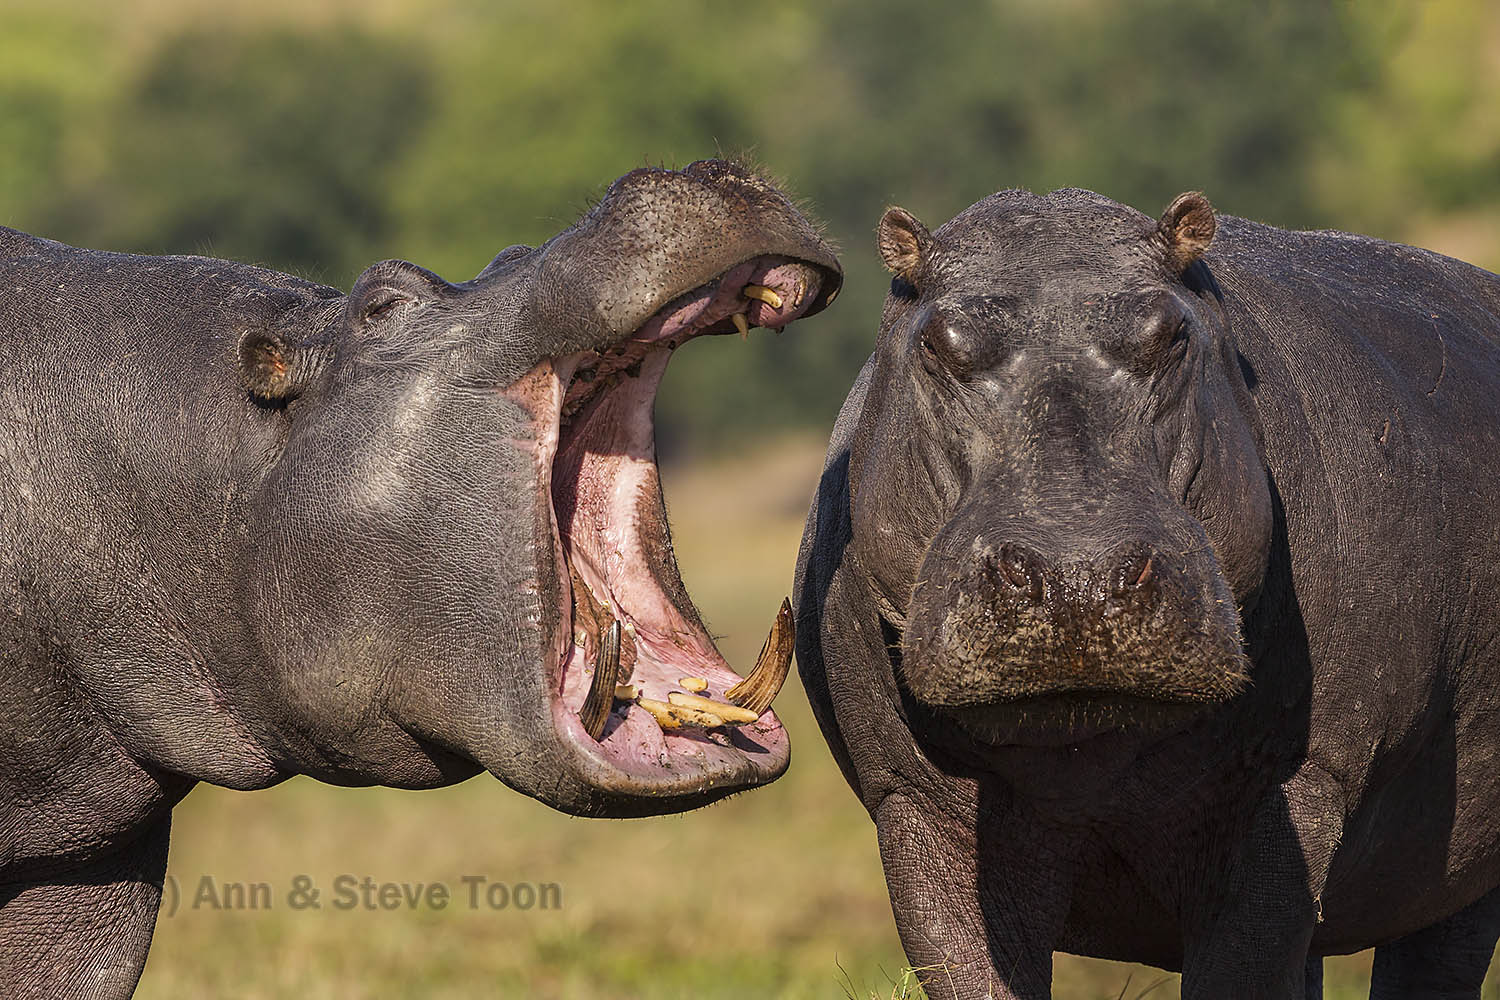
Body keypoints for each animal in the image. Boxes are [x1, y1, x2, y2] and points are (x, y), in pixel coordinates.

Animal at [794, 187, 1500, 998]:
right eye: (938, 343)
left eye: (1172, 335)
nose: (1076, 577)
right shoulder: (912, 803)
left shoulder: (1297, 789)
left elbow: (1245, 964)